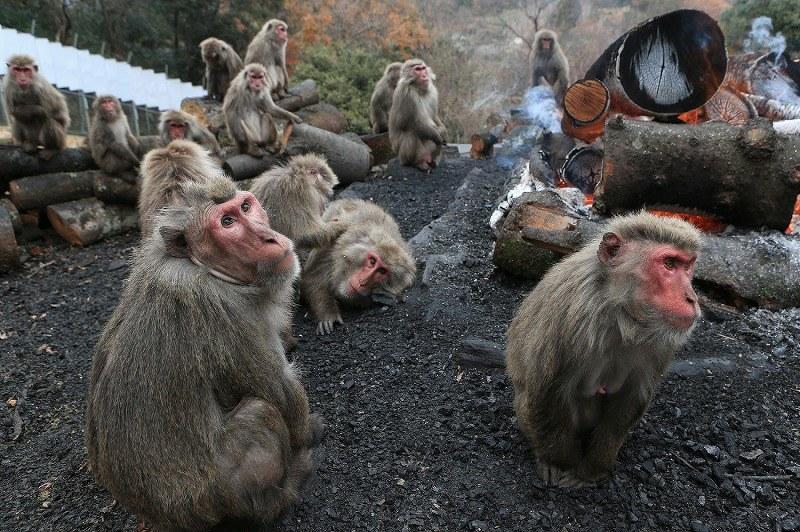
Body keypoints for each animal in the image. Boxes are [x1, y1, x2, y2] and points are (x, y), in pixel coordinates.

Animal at [86, 175, 322, 532]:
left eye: (245, 207)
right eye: (227, 223)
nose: (269, 236)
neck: (201, 268)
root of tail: (153, 514)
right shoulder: (226, 312)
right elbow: (280, 392)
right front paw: (310, 430)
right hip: (215, 493)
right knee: (259, 414)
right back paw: (283, 493)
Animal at [301, 198, 416, 335]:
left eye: (382, 271)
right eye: (372, 261)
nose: (363, 282)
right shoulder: (334, 242)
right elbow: (313, 277)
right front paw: (328, 315)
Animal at [505, 211, 702, 488]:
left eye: (688, 266)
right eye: (669, 263)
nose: (691, 298)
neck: (620, 315)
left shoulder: (663, 343)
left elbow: (628, 401)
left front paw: (589, 472)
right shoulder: (570, 320)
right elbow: (547, 393)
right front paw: (560, 463)